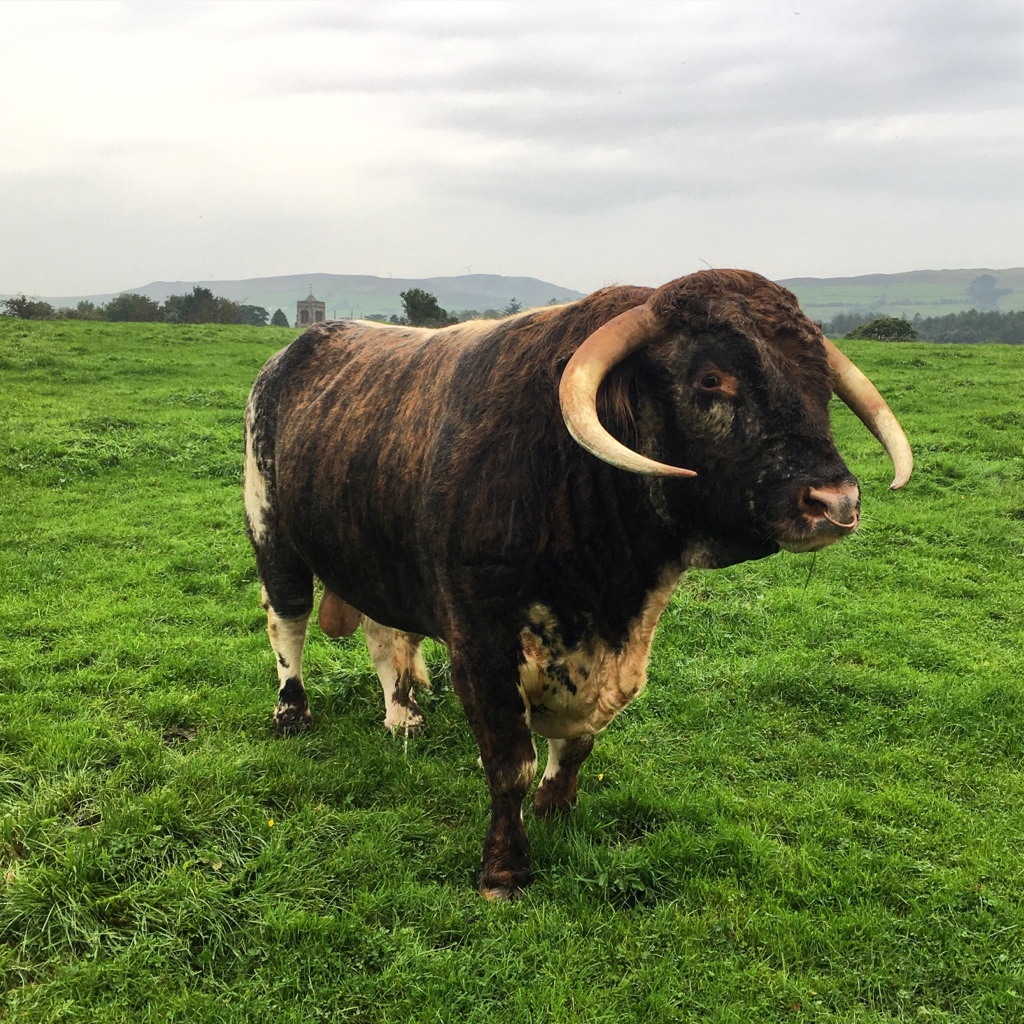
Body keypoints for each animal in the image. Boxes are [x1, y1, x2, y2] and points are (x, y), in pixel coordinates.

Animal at [243, 269, 912, 899]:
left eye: (820, 382)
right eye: (710, 379)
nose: (836, 500)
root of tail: (292, 353)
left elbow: (577, 745)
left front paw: (557, 810)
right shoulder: (480, 644)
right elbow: (509, 763)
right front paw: (505, 869)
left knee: (386, 636)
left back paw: (402, 715)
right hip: (270, 528)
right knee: (288, 621)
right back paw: (292, 713)